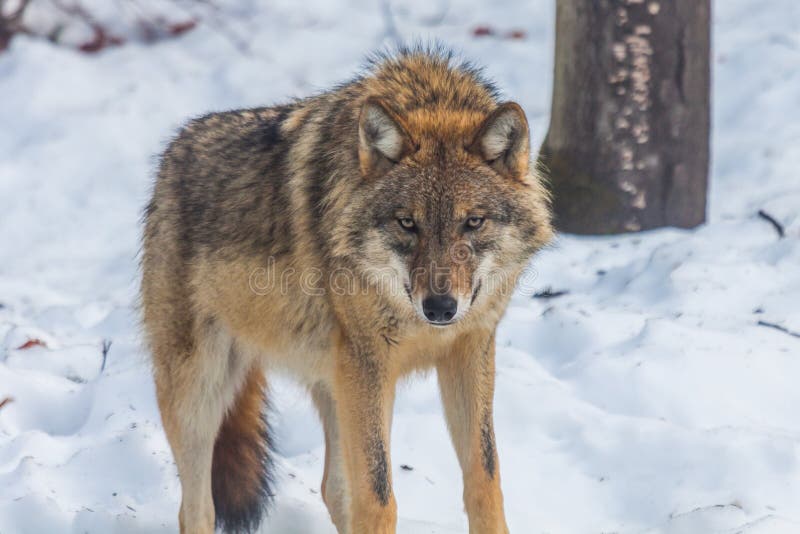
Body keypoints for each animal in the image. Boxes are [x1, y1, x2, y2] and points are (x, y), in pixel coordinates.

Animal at [141, 47, 553, 534]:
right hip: (201, 392)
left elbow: (484, 479)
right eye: (406, 223)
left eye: (473, 221)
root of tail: (174, 149)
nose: (439, 308)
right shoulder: (370, 364)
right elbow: (378, 497)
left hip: (336, 388)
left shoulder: (468, 353)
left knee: (332, 490)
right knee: (196, 507)